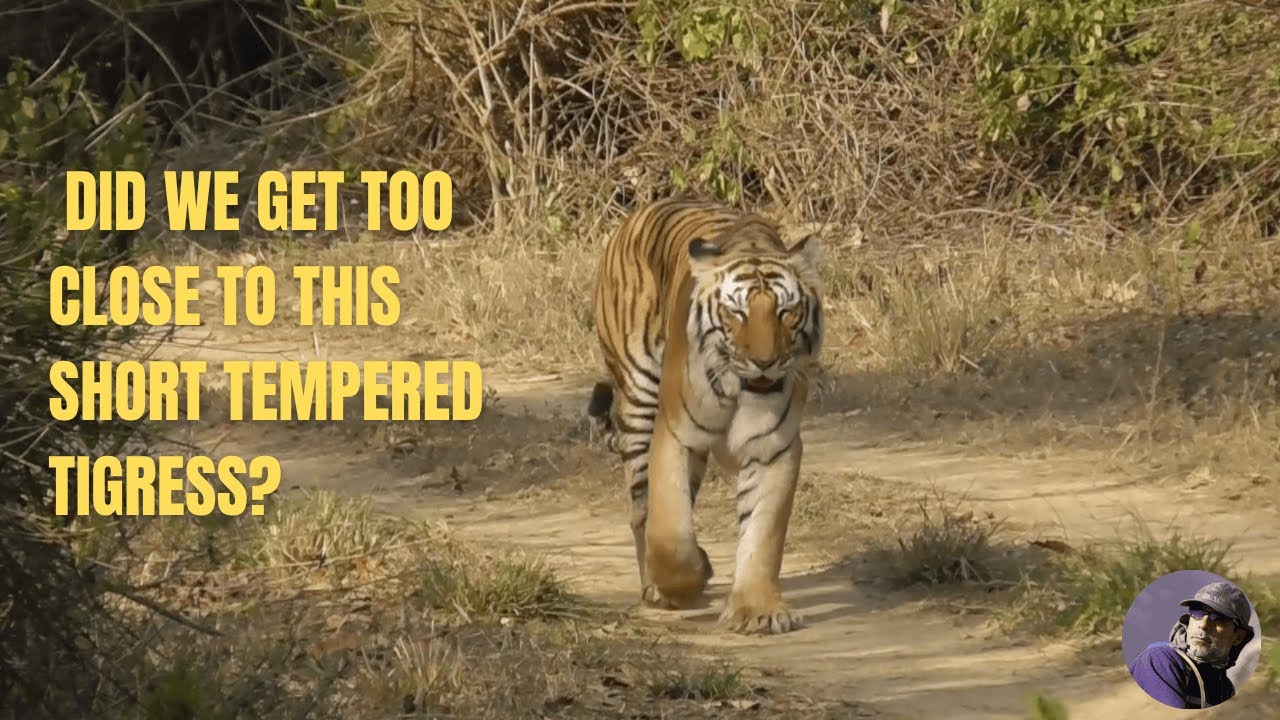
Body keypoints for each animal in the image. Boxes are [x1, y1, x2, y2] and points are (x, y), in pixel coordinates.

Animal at [588, 196, 823, 635]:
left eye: (786, 312)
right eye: (737, 313)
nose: (764, 362)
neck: (739, 392)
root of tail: (634, 217)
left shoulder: (774, 449)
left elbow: (763, 532)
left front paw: (758, 610)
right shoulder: (676, 434)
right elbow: (670, 531)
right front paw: (688, 580)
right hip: (639, 398)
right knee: (641, 510)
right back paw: (654, 588)